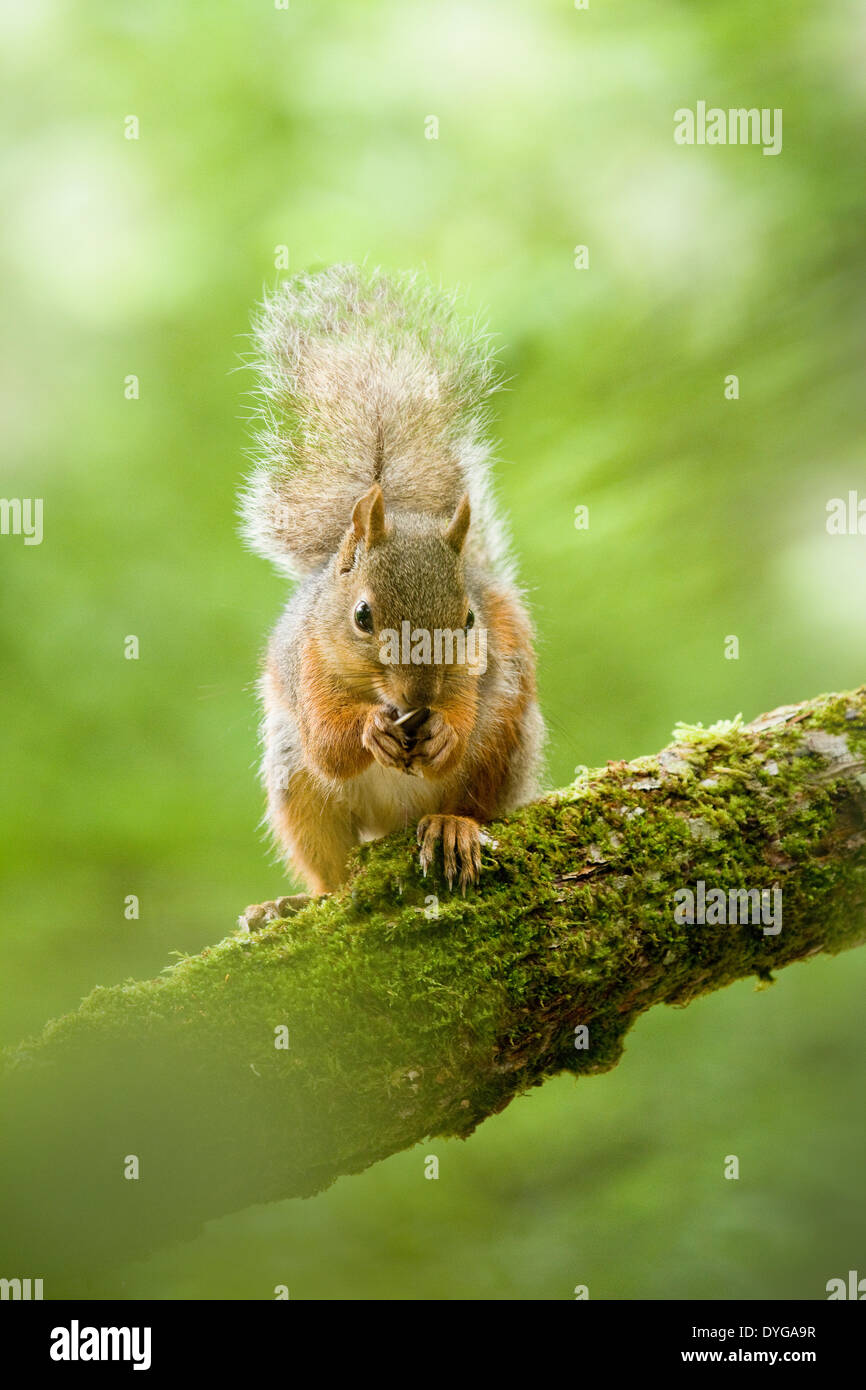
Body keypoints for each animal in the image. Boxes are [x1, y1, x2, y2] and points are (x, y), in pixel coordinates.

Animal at [238, 265, 544, 929]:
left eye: (468, 619)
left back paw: (453, 827)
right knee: (330, 865)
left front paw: (445, 732)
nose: (418, 699)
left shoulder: (486, 665)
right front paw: (368, 731)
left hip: (504, 750)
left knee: (474, 800)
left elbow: (464, 713)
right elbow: (330, 745)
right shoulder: (306, 664)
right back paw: (295, 901)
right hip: (294, 782)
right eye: (362, 616)